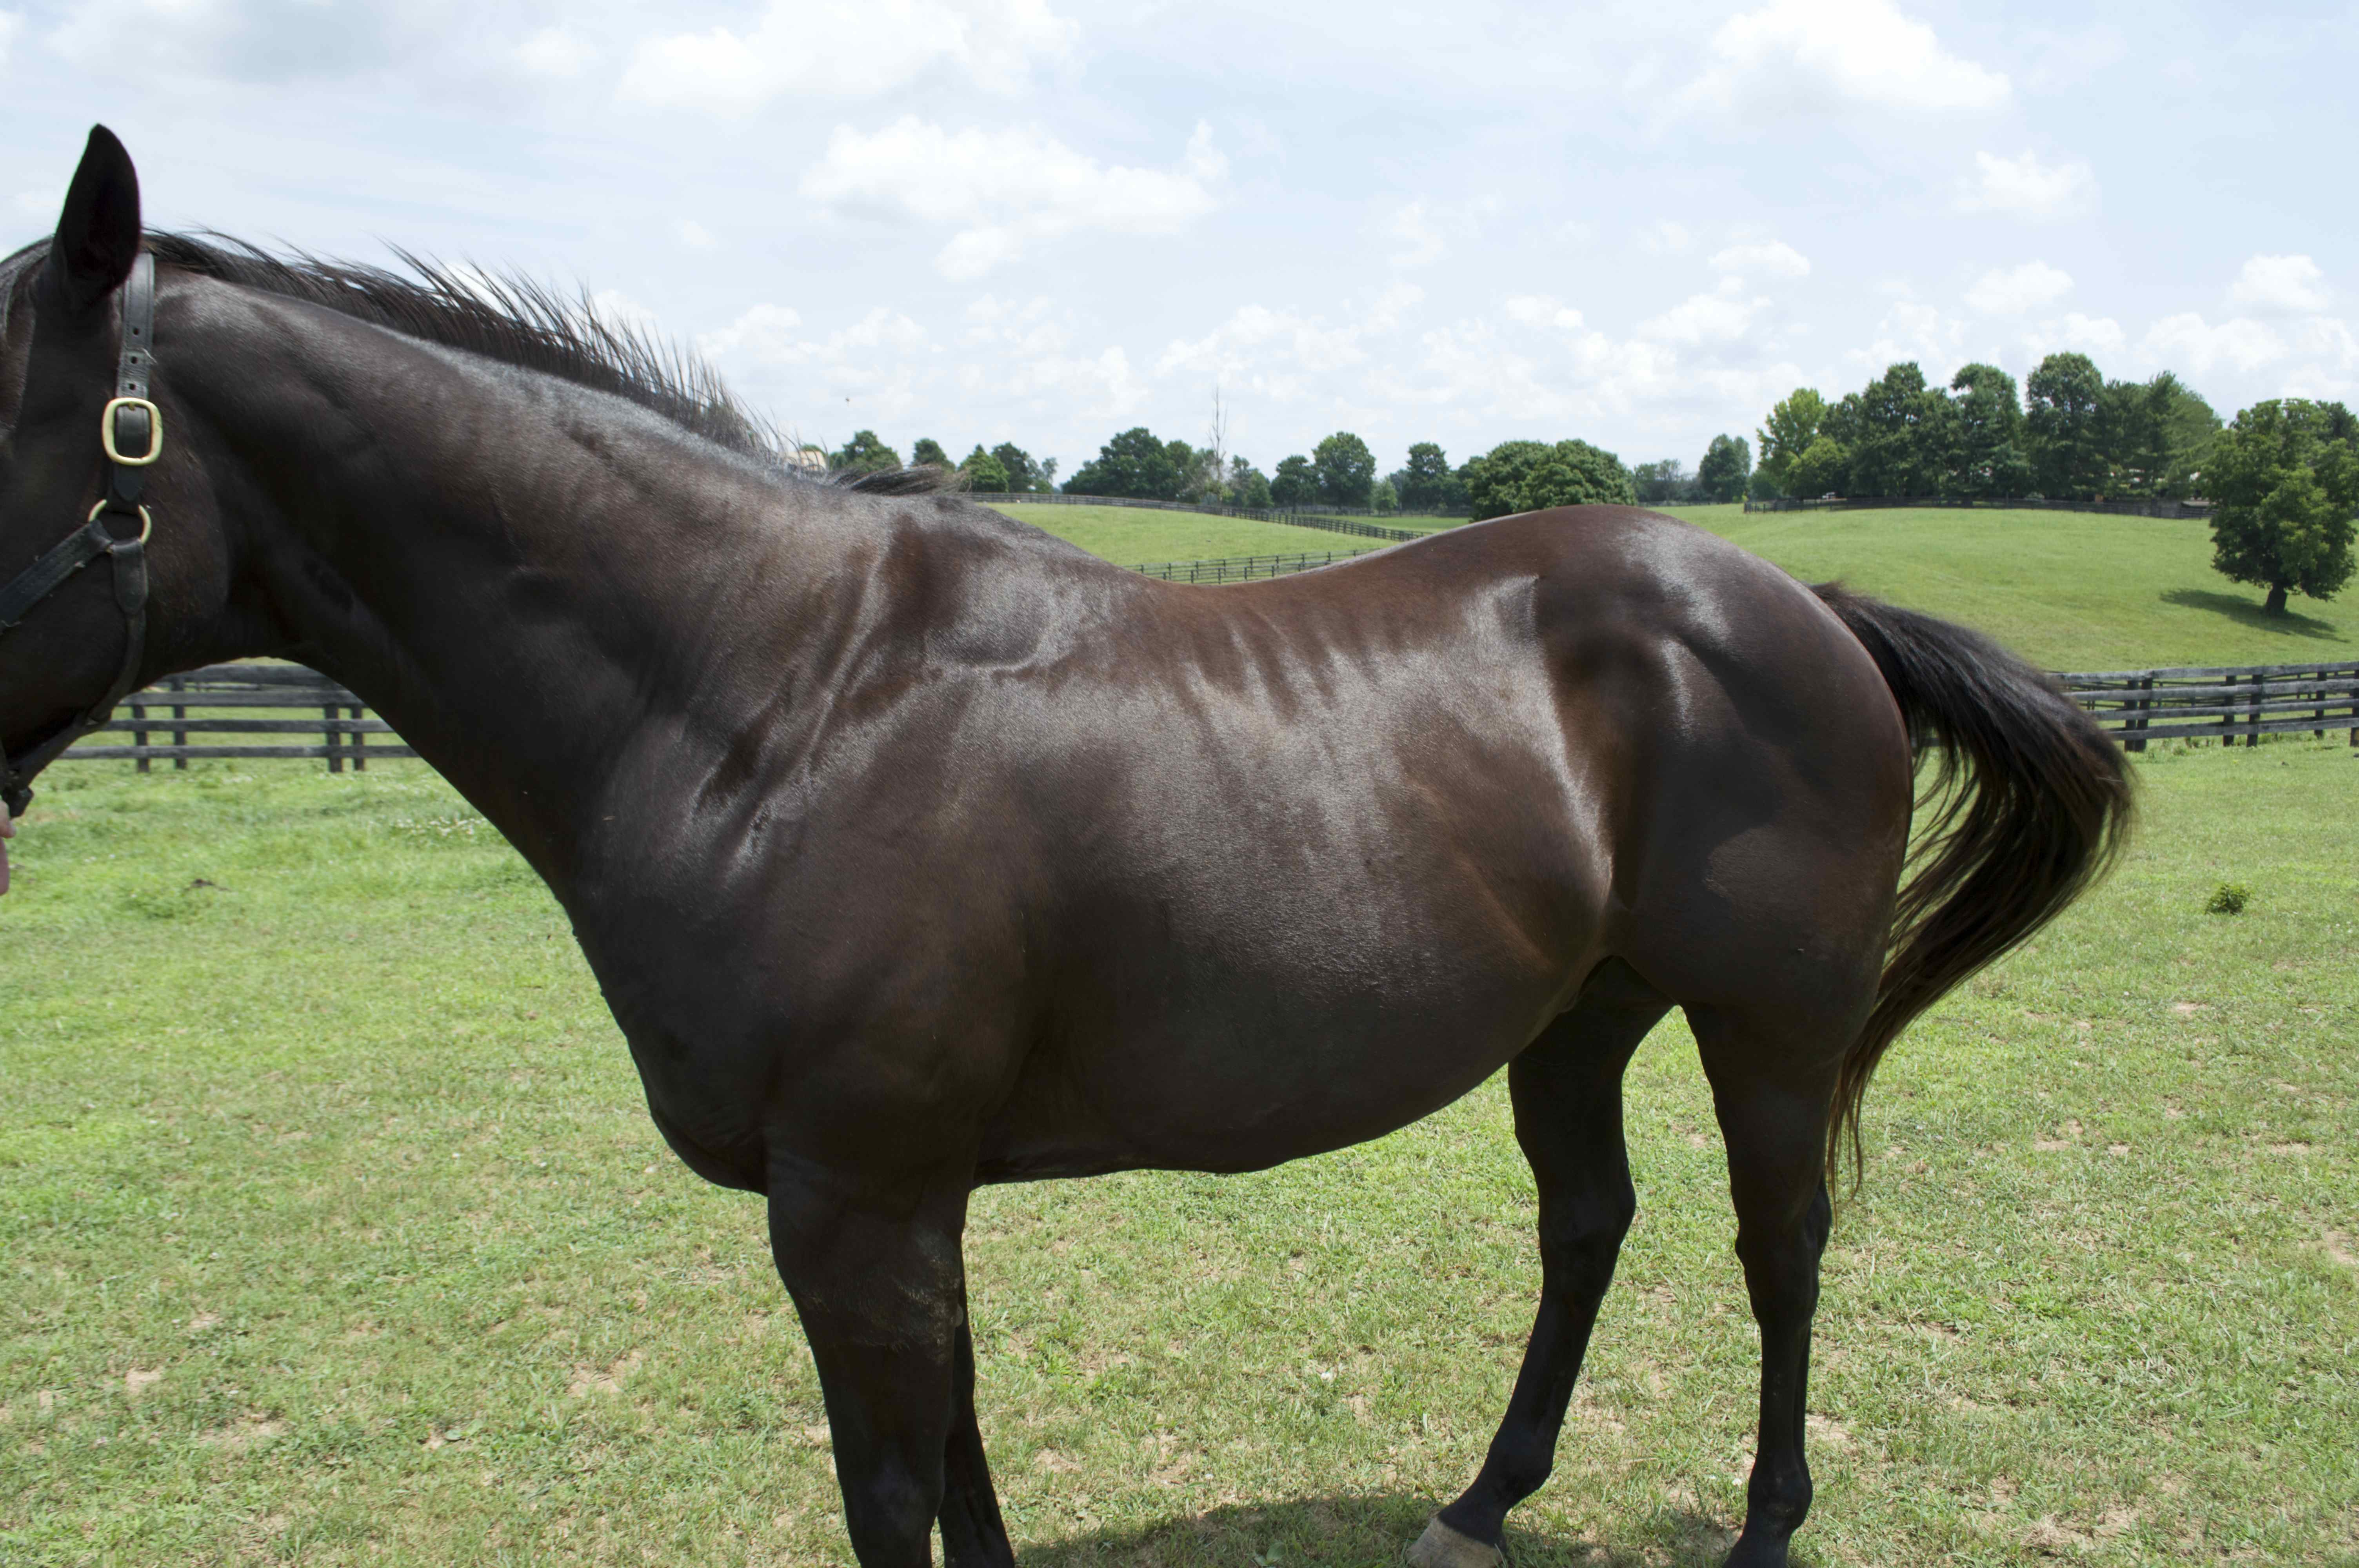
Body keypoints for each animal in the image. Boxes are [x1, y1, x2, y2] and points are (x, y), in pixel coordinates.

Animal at [0, 127, 2132, 1568]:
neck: (771, 688)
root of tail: (1805, 608)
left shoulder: (852, 1201)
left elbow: (892, 1487)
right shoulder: (899, 1200)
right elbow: (957, 1465)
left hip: (1762, 1025)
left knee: (1783, 1246)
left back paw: (1764, 1519)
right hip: (1577, 1013)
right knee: (1587, 1227)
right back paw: (1479, 1495)